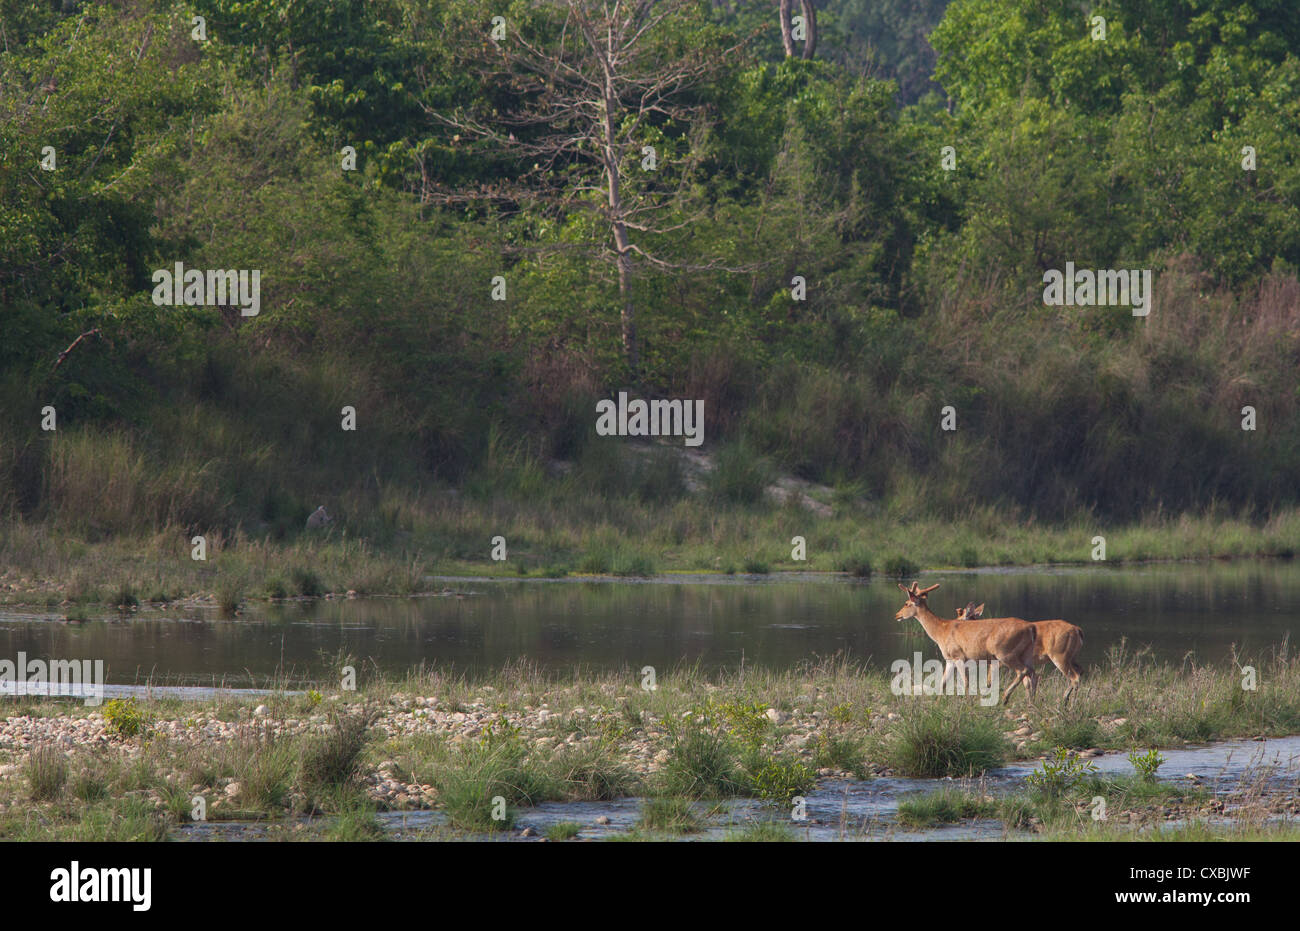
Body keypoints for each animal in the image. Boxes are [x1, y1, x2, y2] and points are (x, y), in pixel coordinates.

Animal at [894, 582, 1038, 704]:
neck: (941, 631)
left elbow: (966, 682)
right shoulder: (949, 659)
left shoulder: (959, 656)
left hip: (1005, 652)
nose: (897, 615)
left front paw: (968, 703)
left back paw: (1006, 698)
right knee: (1033, 675)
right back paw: (1030, 702)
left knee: (1023, 671)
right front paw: (937, 704)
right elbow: (943, 682)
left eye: (906, 603)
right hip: (1025, 653)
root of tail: (1030, 627)